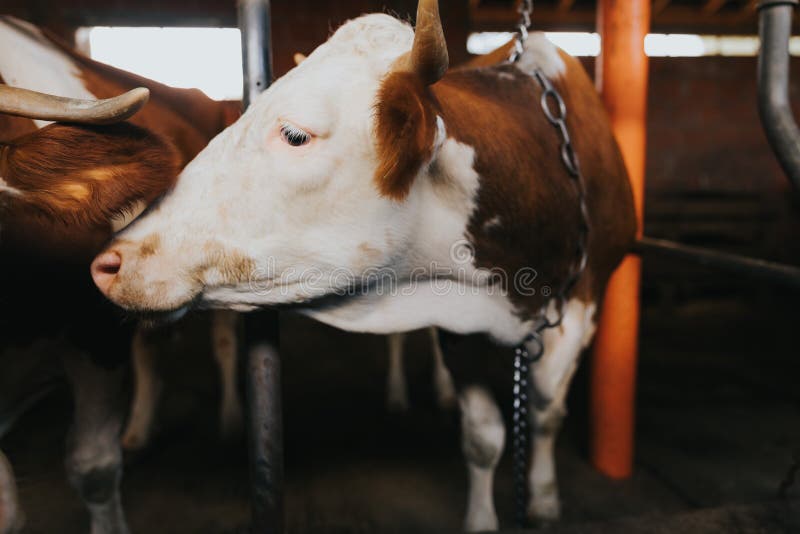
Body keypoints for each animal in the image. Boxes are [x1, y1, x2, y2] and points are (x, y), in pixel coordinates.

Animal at [91, 1, 636, 530]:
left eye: (295, 134)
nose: (109, 261)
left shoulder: (581, 308)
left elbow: (545, 412)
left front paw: (543, 497)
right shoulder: (458, 323)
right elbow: (483, 437)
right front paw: (482, 520)